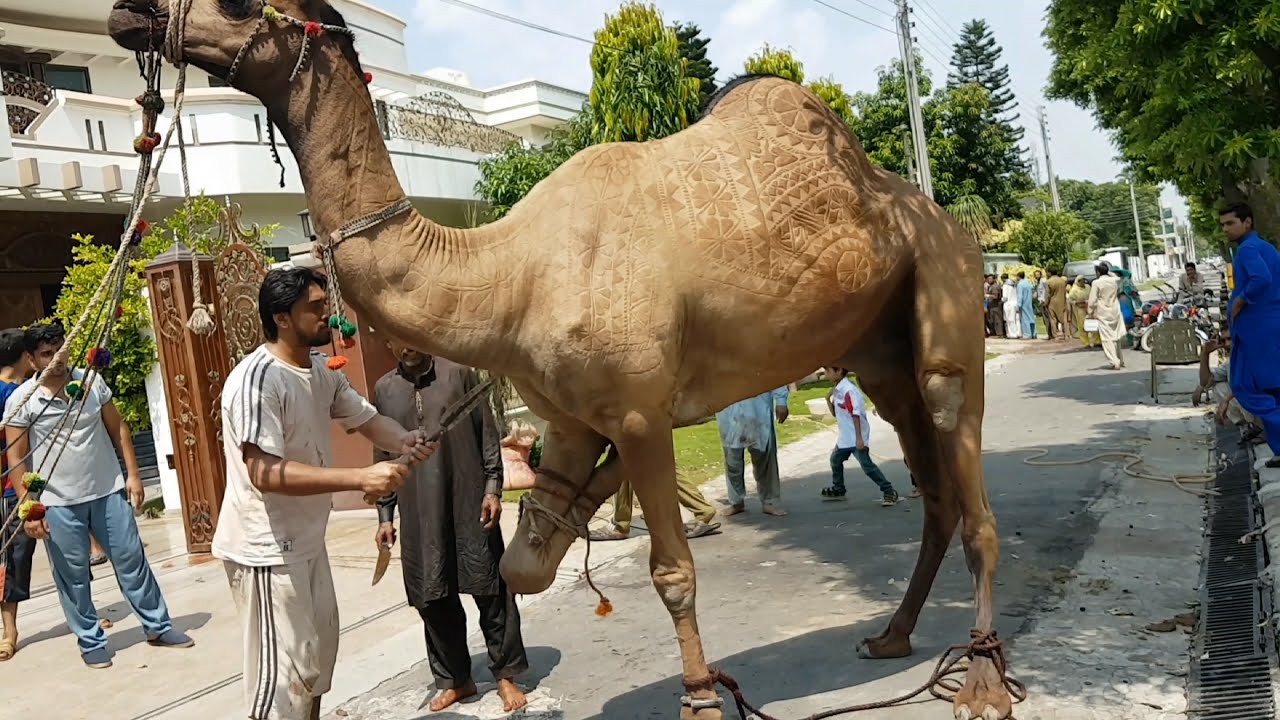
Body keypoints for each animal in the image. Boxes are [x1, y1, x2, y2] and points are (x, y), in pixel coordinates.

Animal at [108, 2, 1010, 717]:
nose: (130, 10)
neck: (507, 276)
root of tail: (933, 212)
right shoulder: (571, 419)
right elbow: (522, 559)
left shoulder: (640, 413)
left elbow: (671, 570)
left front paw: (699, 701)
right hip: (876, 346)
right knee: (931, 486)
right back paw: (893, 636)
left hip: (943, 282)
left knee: (965, 471)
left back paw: (984, 678)